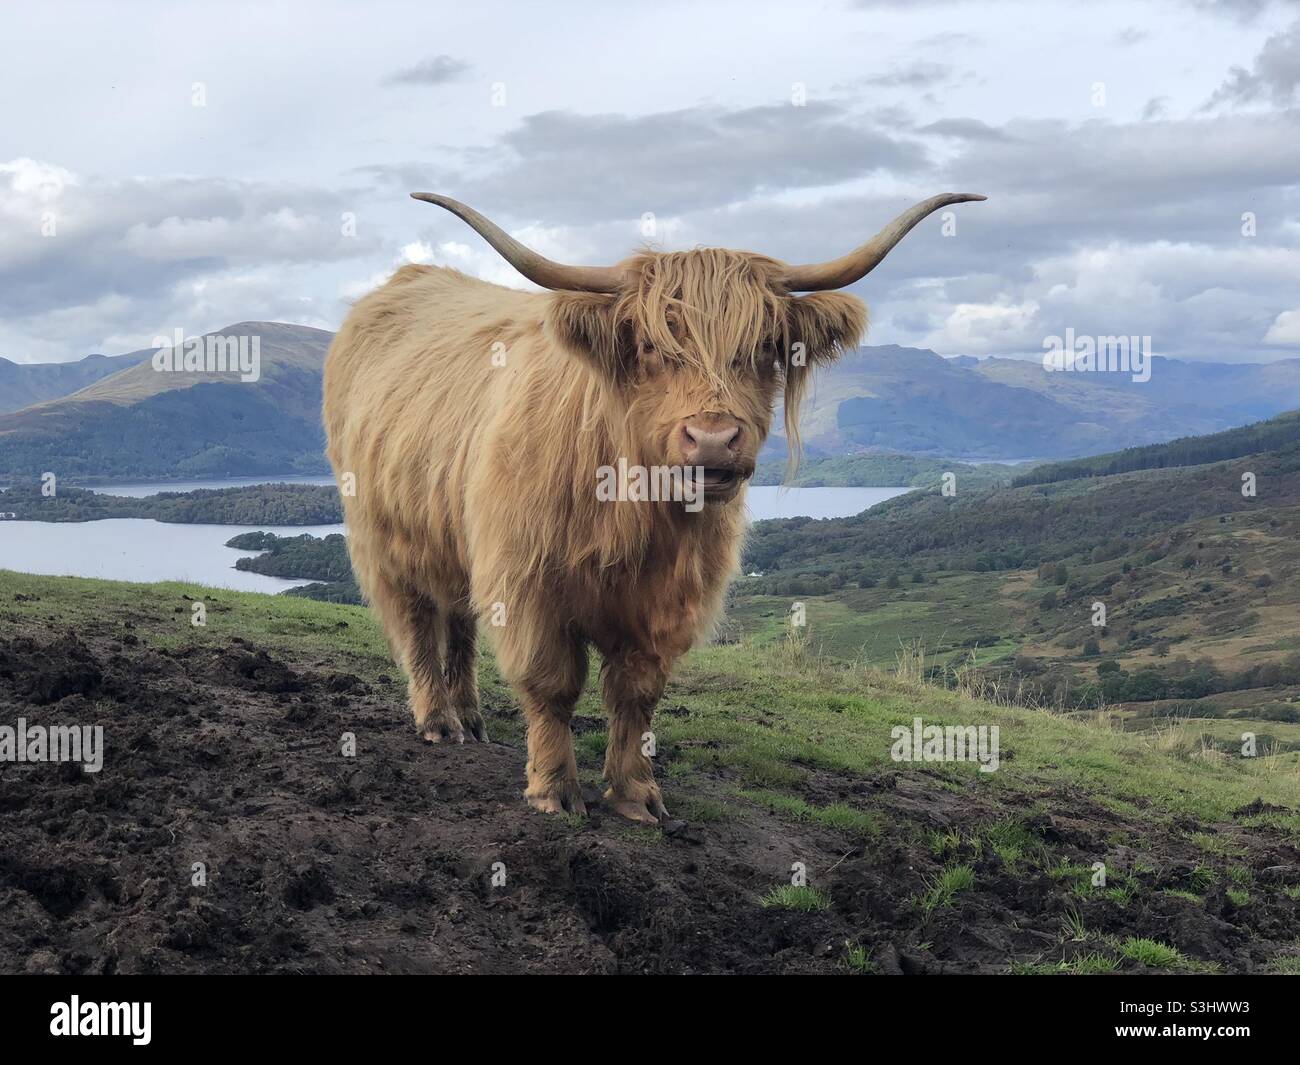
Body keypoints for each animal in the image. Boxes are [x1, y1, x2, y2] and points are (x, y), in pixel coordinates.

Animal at [322, 191, 984, 823]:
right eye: (648, 345)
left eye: (766, 346)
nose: (713, 439)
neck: (633, 509)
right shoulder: (526, 580)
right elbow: (552, 684)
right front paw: (554, 790)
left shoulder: (669, 601)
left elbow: (636, 695)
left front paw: (636, 796)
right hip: (385, 534)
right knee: (416, 619)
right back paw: (439, 721)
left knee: (458, 620)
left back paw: (472, 718)